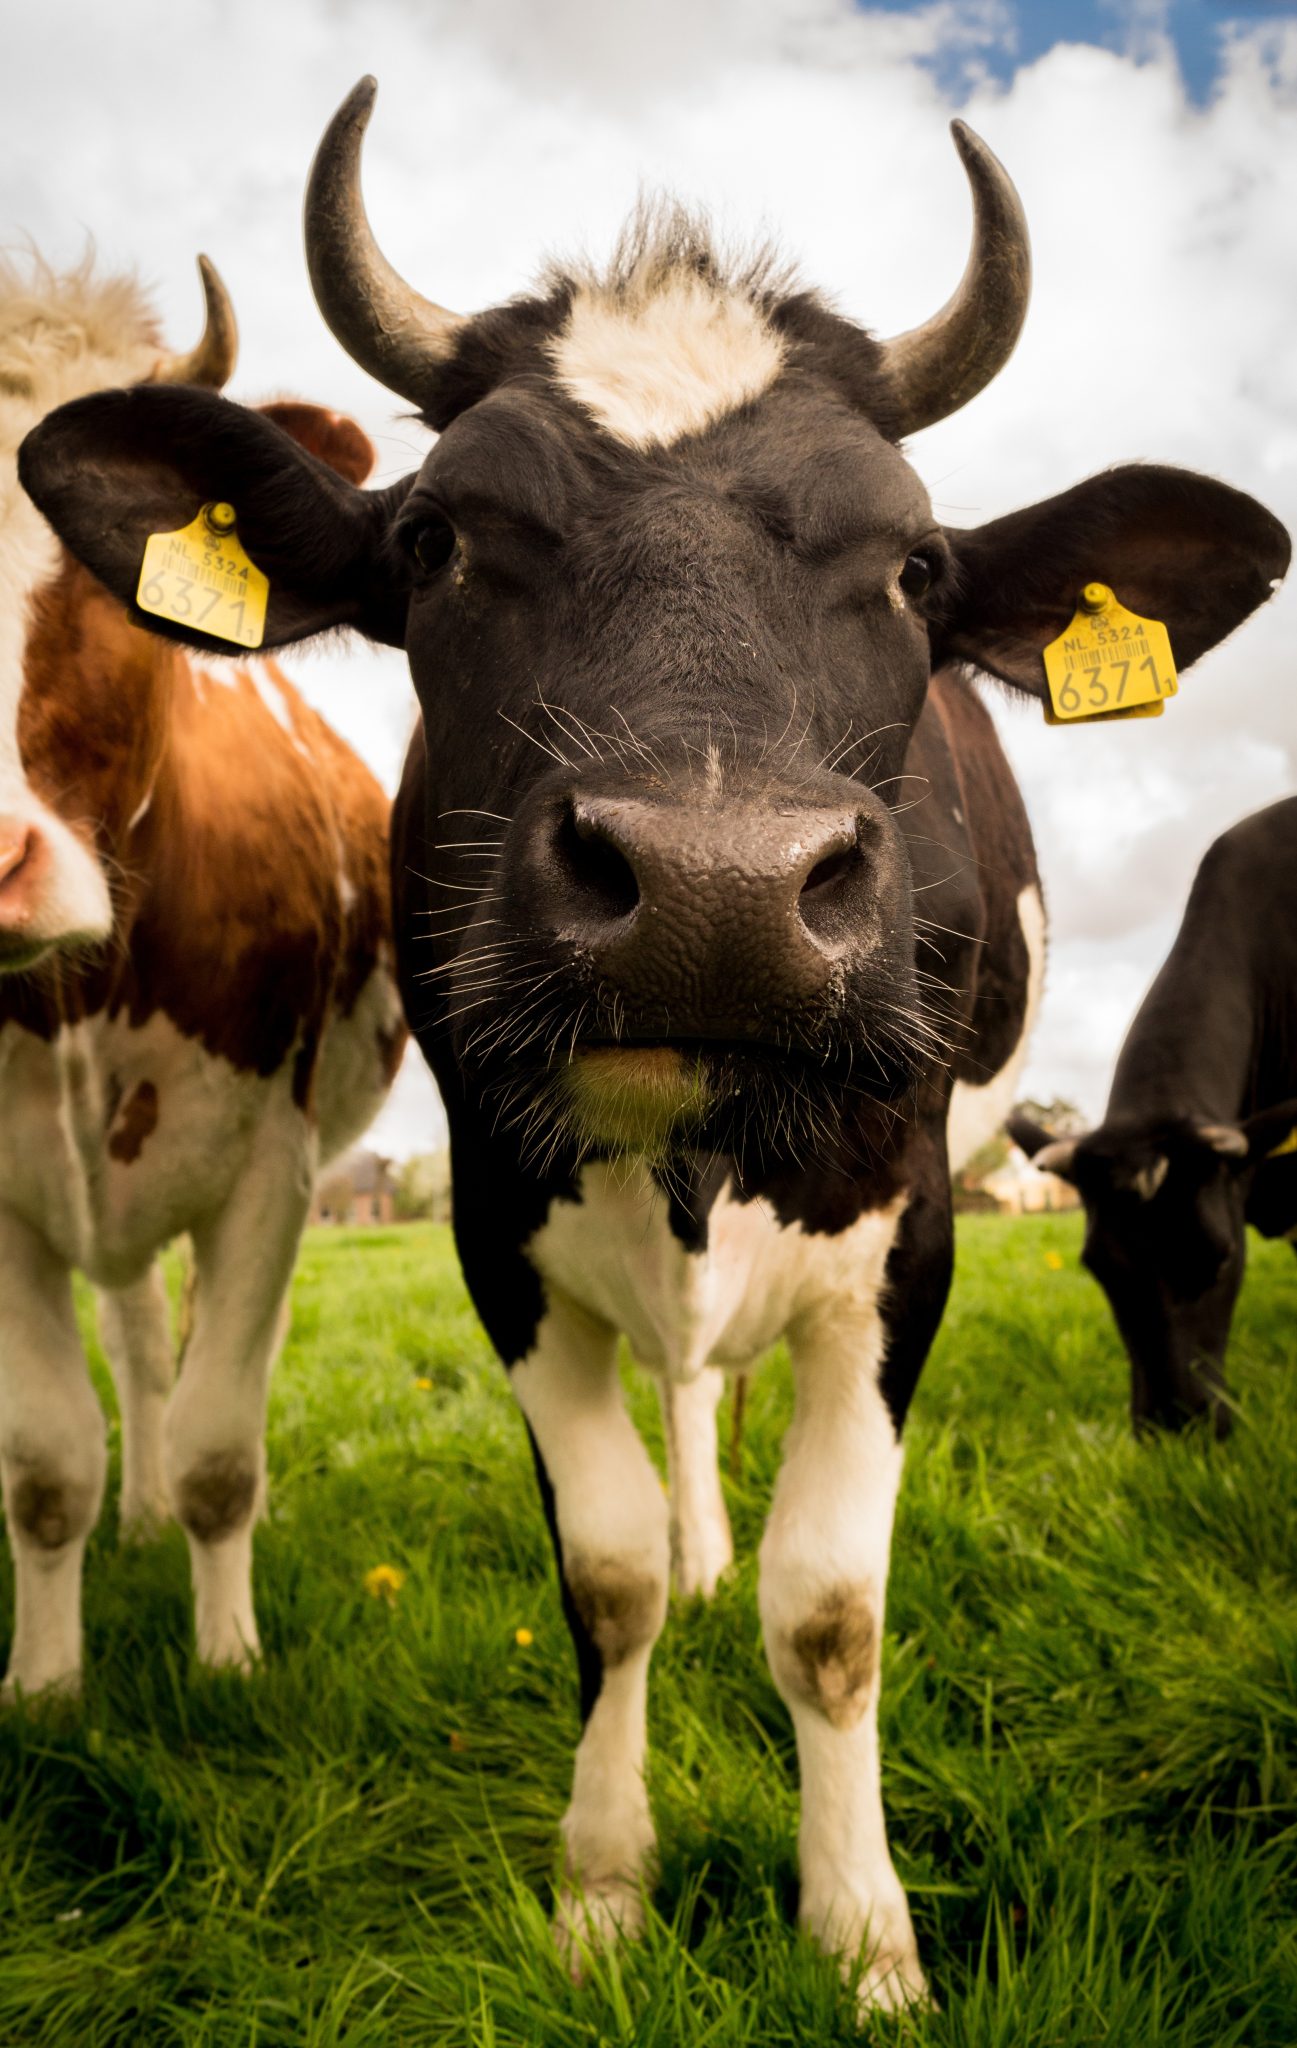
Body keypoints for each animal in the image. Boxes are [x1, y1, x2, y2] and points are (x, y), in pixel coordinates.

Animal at [0, 250, 404, 1704]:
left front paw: (227, 1658)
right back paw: (136, 1515)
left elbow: (223, 1441)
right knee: (131, 1336)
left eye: (100, 561)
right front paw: (44, 1684)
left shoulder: (271, 1167)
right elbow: (46, 1463)